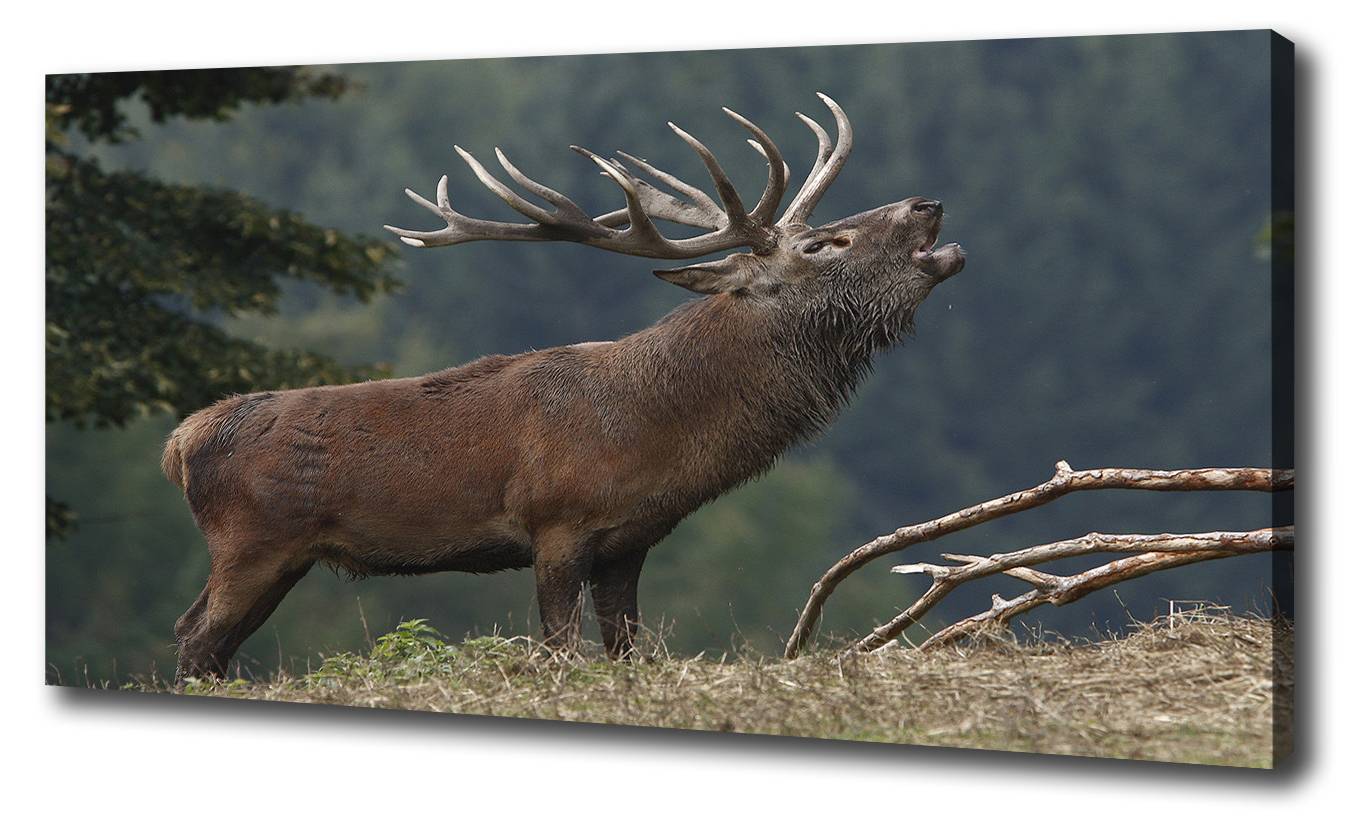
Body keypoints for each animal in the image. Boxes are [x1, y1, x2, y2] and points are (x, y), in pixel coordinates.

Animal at [162, 94, 965, 681]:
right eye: (822, 243)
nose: (926, 205)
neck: (657, 437)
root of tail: (179, 444)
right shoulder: (554, 523)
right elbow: (556, 650)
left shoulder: (629, 541)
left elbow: (624, 652)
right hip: (252, 540)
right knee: (196, 637)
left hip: (280, 555)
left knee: (205, 639)